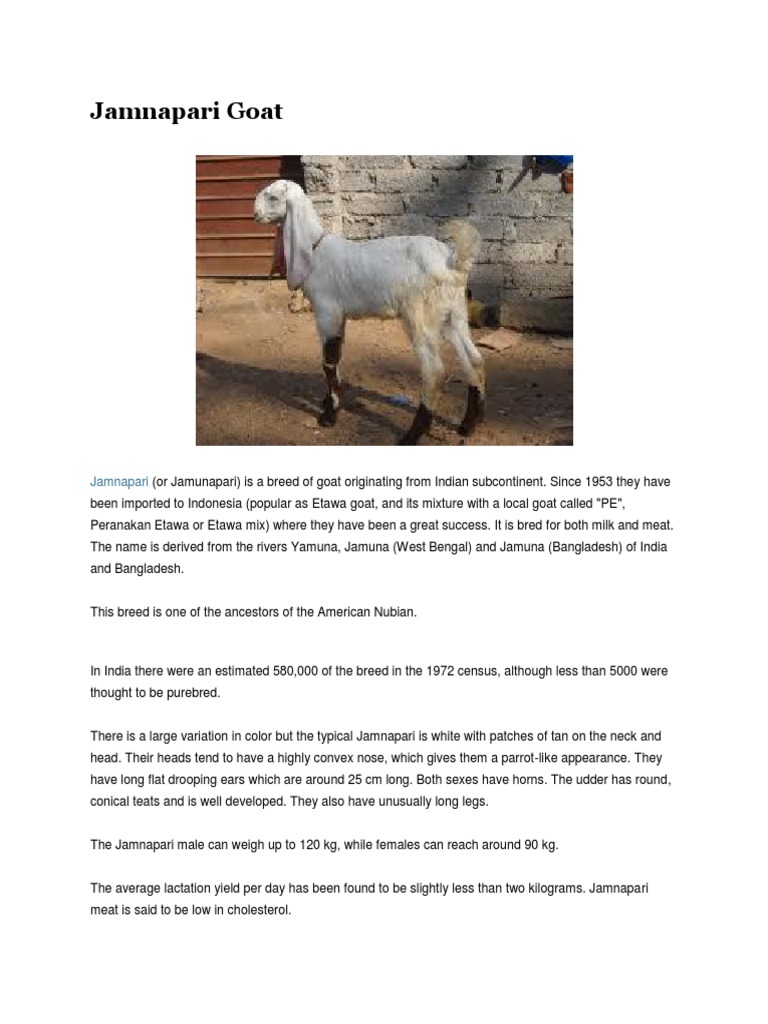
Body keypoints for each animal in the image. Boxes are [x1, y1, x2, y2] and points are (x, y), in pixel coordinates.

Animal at [254, 180, 485, 445]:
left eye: (273, 197)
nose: (255, 214)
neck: (315, 251)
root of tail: (452, 262)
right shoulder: (340, 317)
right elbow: (337, 358)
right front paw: (330, 401)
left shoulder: (327, 312)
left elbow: (328, 362)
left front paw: (329, 416)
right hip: (453, 314)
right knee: (474, 359)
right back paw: (470, 424)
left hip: (420, 314)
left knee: (434, 372)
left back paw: (412, 435)